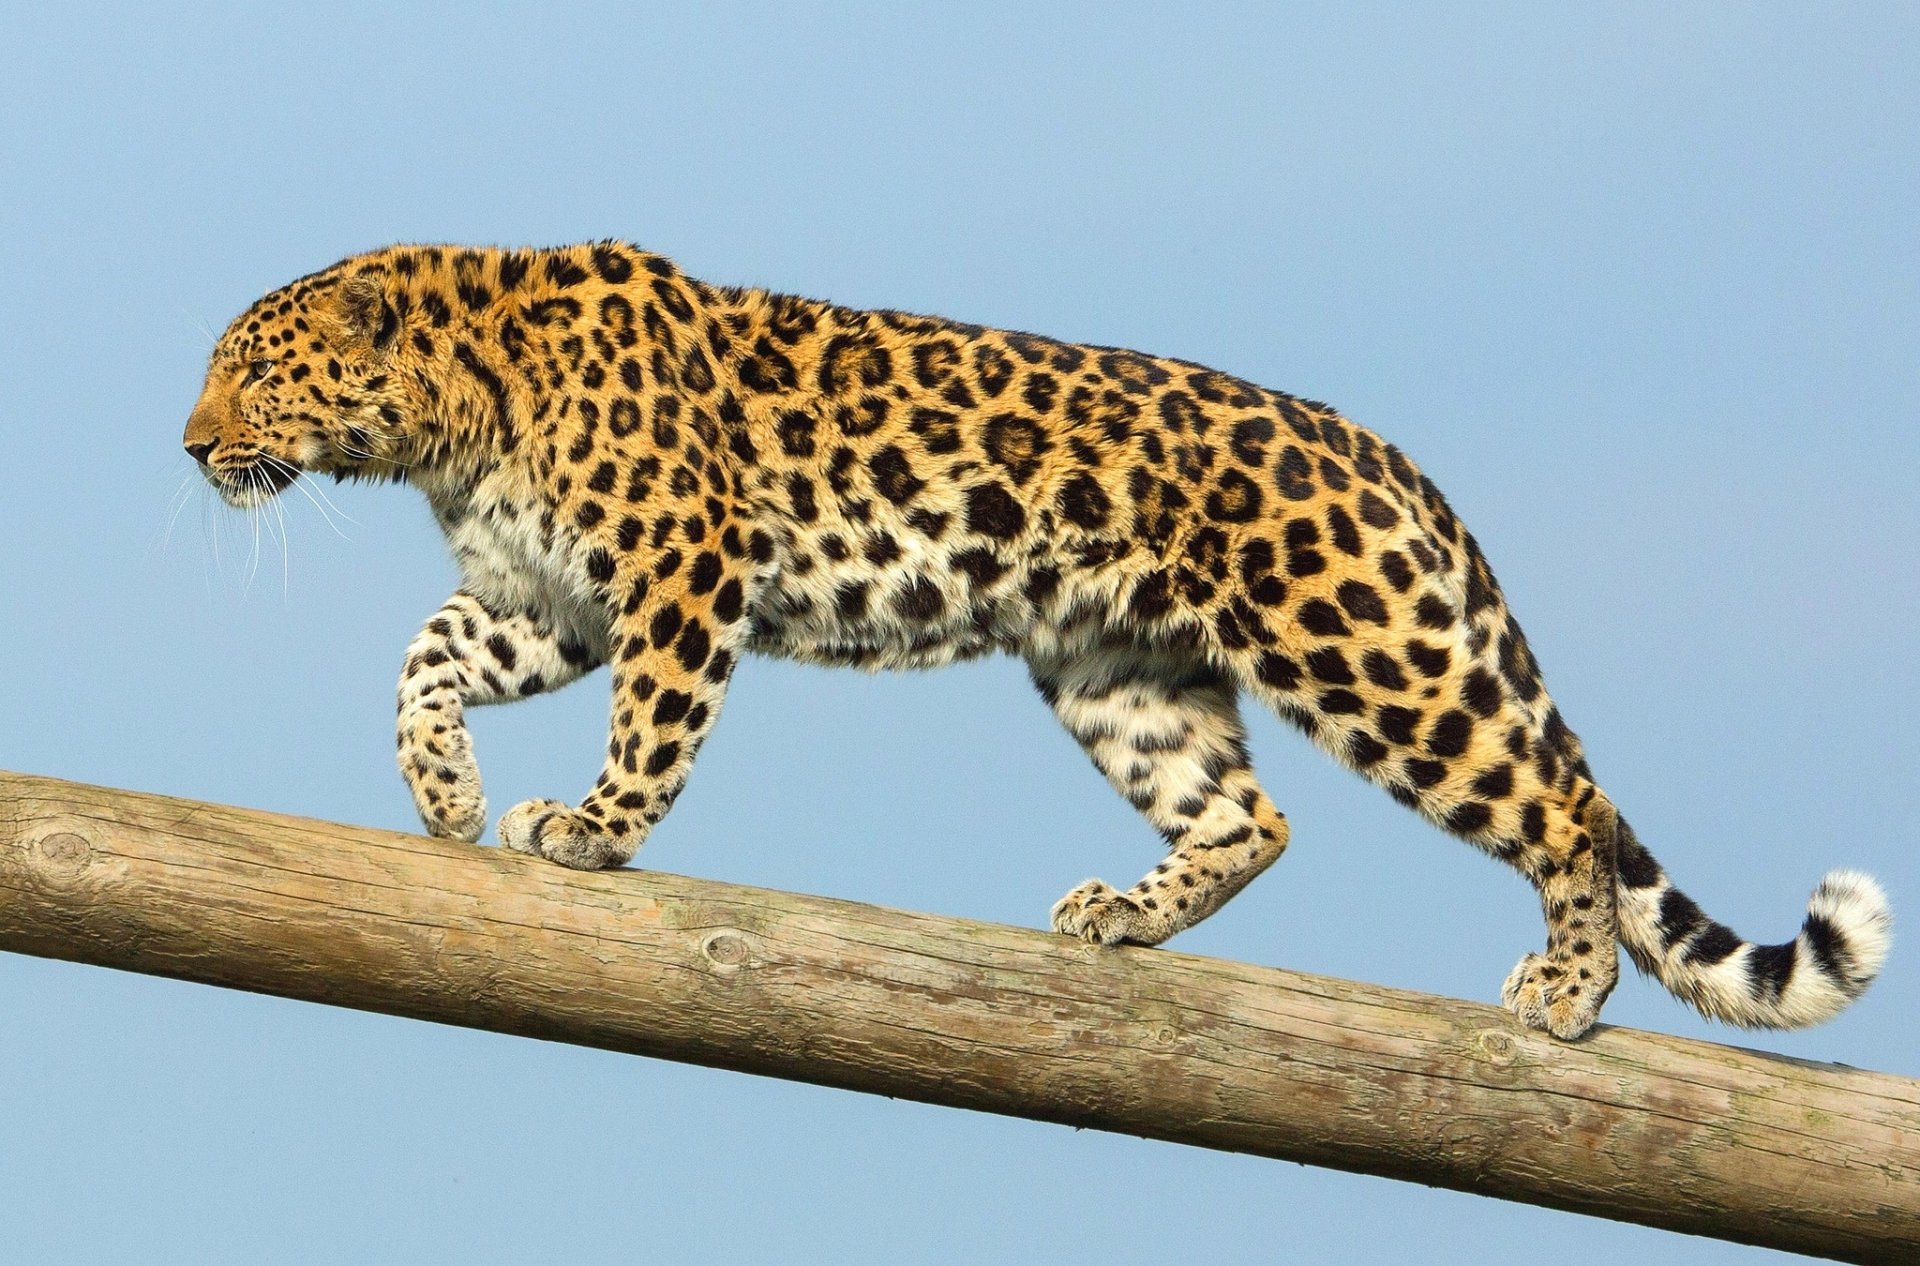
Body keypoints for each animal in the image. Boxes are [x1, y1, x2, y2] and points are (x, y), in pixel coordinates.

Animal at [184, 241, 1891, 1039]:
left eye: (251, 374)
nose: (190, 446)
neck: (450, 418)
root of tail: (1384, 453)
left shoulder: (679, 568)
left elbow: (652, 729)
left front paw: (589, 833)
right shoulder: (553, 597)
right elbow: (425, 654)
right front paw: (445, 793)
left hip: (1362, 642)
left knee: (1560, 805)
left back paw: (1566, 991)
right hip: (1117, 667)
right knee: (1253, 813)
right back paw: (1124, 916)